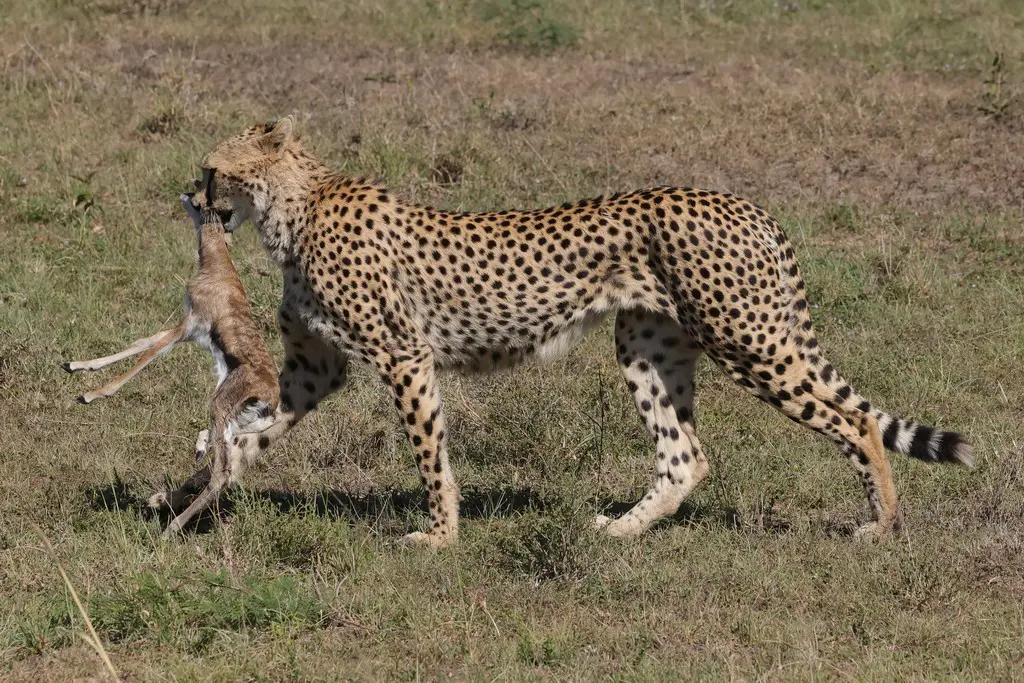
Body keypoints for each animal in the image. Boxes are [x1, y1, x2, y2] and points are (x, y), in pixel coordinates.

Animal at [190, 115, 972, 548]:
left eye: (211, 168)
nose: (188, 192)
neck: (293, 206)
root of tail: (744, 203)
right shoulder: (314, 369)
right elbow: (249, 432)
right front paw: (190, 496)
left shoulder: (403, 356)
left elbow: (428, 454)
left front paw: (439, 536)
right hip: (648, 344)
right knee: (686, 455)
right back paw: (622, 530)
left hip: (747, 338)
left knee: (854, 421)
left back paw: (883, 525)